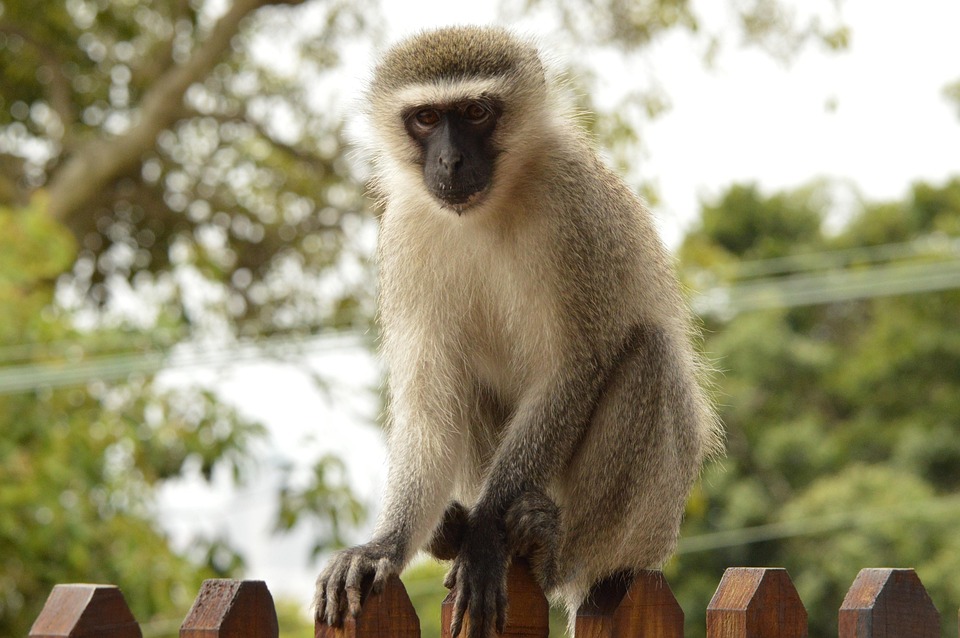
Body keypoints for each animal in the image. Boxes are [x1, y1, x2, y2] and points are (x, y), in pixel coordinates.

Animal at [313, 26, 722, 638]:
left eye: (476, 112)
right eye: (426, 118)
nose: (451, 160)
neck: (491, 205)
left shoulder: (574, 209)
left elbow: (574, 368)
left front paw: (486, 537)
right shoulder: (406, 232)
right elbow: (431, 400)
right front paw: (386, 544)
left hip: (646, 529)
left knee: (648, 356)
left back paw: (548, 552)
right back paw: (451, 531)